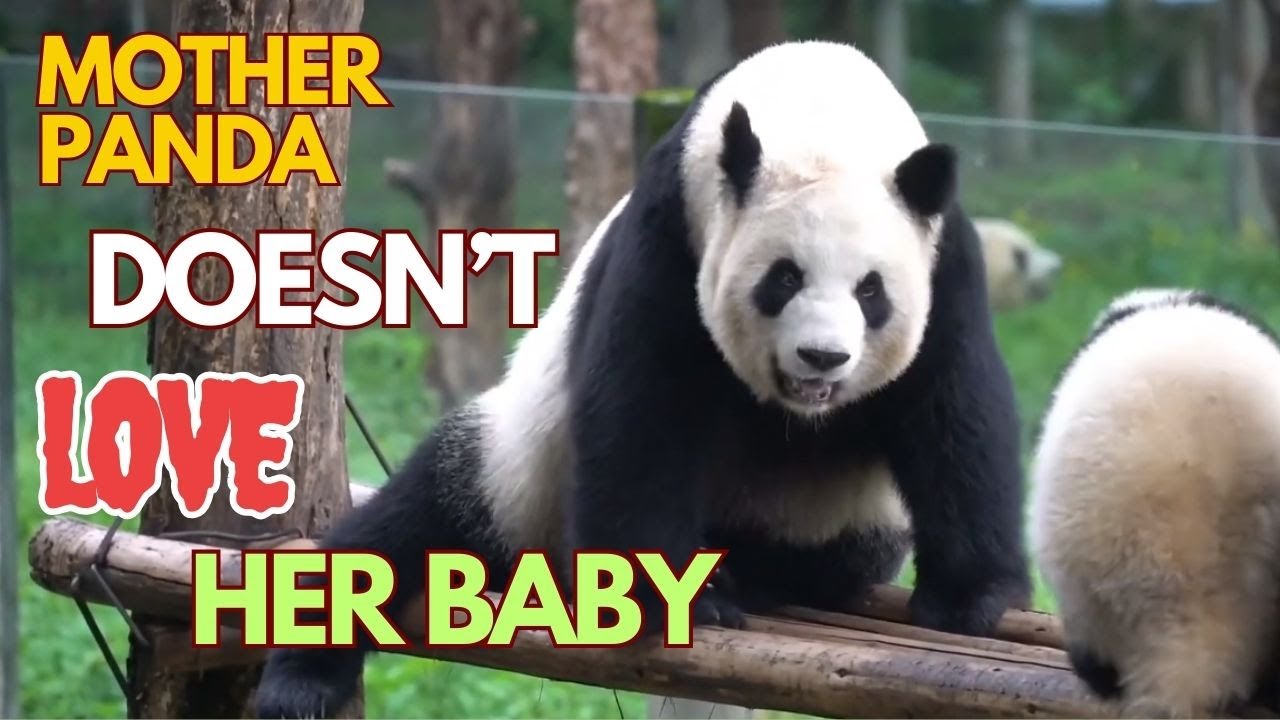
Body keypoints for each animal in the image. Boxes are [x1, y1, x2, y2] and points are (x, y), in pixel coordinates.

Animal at [256, 40, 1031, 719]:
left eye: (872, 293)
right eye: (783, 279)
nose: (822, 358)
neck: (819, 109)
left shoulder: (944, 259)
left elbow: (955, 413)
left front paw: (966, 599)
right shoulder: (673, 228)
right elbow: (642, 407)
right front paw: (664, 595)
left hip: (840, 518)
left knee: (828, 555)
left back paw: (749, 572)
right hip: (518, 470)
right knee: (416, 522)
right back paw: (302, 681)